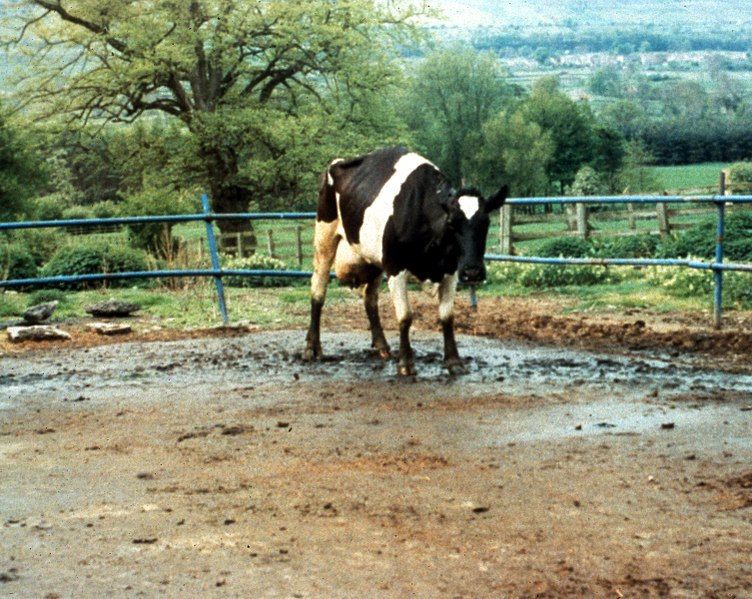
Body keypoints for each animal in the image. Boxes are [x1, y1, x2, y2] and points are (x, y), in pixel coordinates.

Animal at [303, 146, 507, 375]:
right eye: (452, 223)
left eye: (486, 222)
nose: (472, 271)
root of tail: (338, 162)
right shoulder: (396, 268)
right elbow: (405, 316)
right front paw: (406, 362)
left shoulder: (451, 271)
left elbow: (447, 316)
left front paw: (453, 361)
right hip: (324, 236)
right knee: (318, 289)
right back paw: (312, 347)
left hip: (374, 258)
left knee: (370, 298)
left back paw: (382, 345)